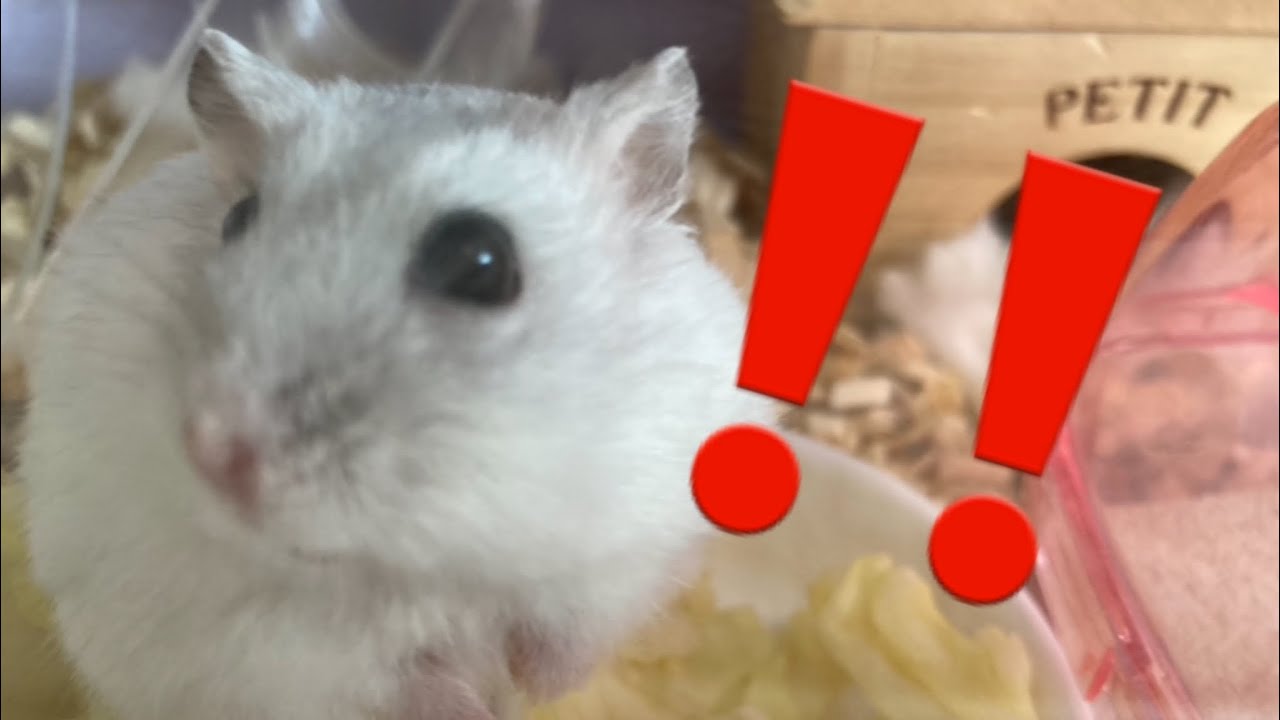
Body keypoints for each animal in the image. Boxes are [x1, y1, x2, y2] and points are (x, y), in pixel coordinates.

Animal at [19, 30, 775, 720]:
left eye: (479, 262)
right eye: (237, 218)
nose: (211, 452)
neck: (423, 557)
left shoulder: (639, 539)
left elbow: (577, 623)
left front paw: (539, 686)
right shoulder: (251, 647)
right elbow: (373, 676)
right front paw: (476, 706)